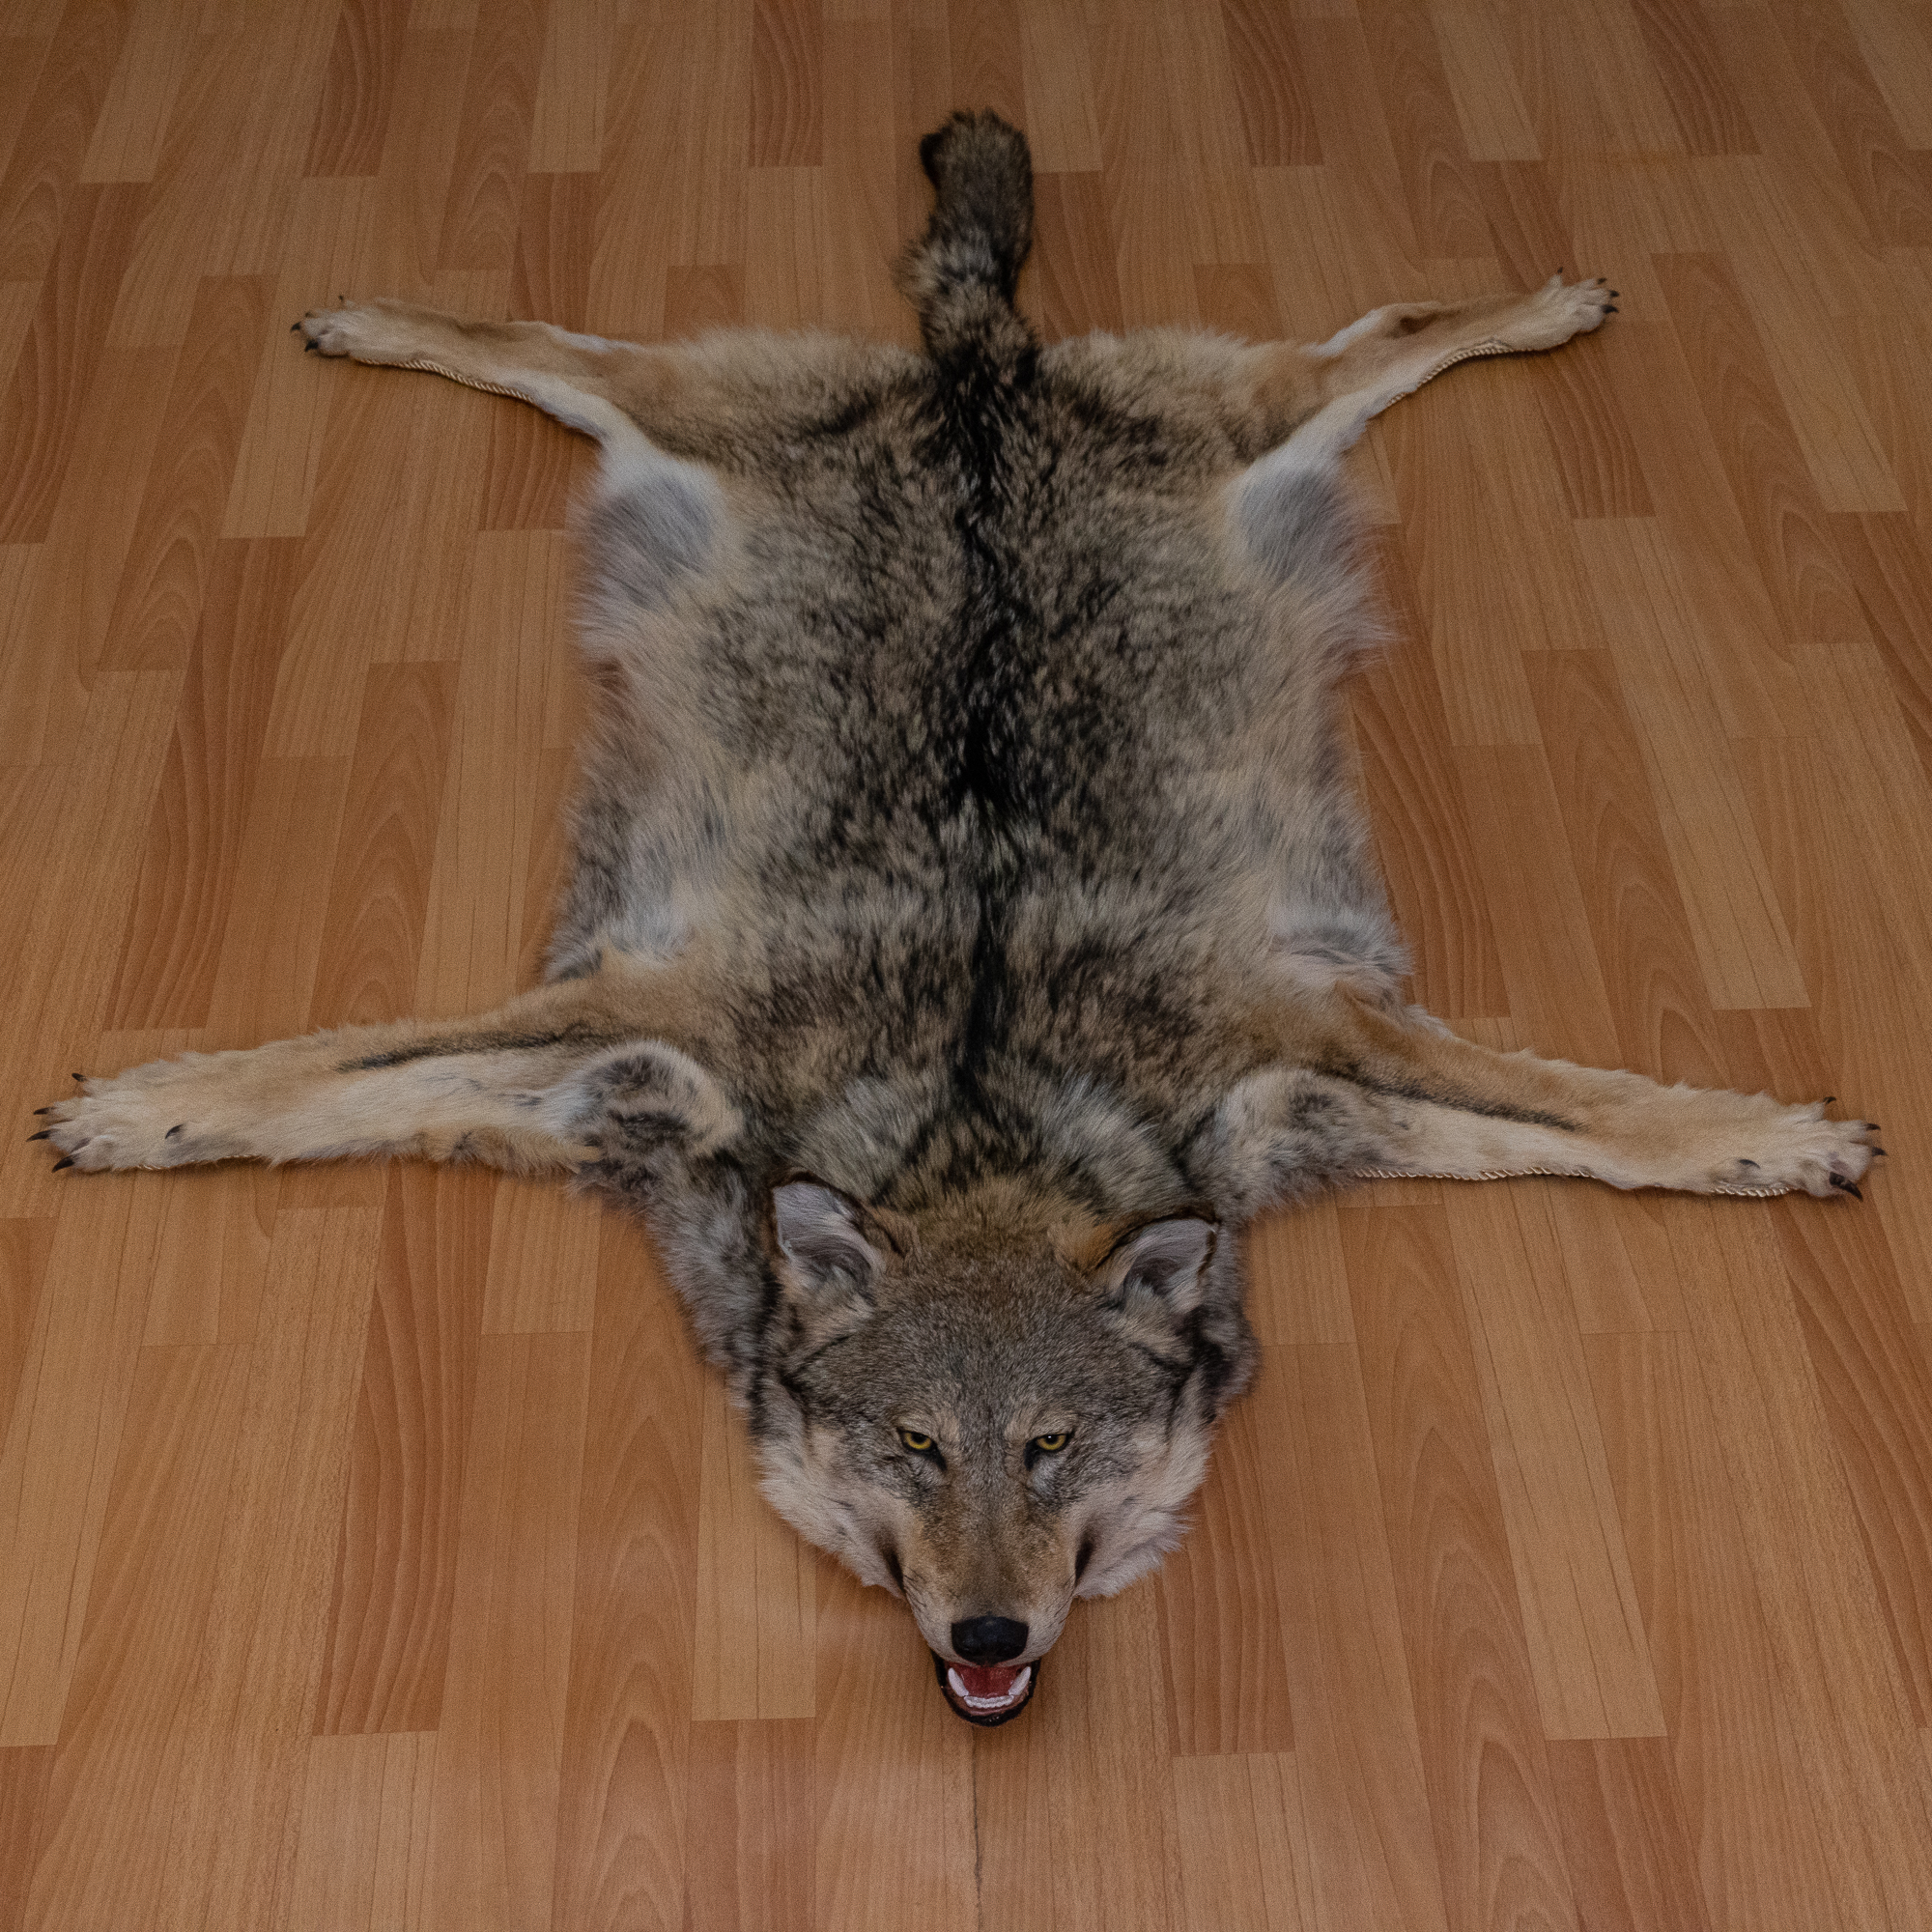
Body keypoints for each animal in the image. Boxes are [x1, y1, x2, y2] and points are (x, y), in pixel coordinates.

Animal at [37, 113, 1878, 1726]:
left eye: (1051, 1449)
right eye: (917, 1449)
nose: (991, 1631)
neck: (977, 1118)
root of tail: (980, 373)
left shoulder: (1297, 1050)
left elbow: (1608, 1119)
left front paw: (1775, 1140)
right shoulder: (647, 1023)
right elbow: (315, 1074)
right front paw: (138, 1107)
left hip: (1239, 430)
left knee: (1380, 334)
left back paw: (1547, 301)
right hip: (713, 425)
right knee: (555, 340)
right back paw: (365, 317)